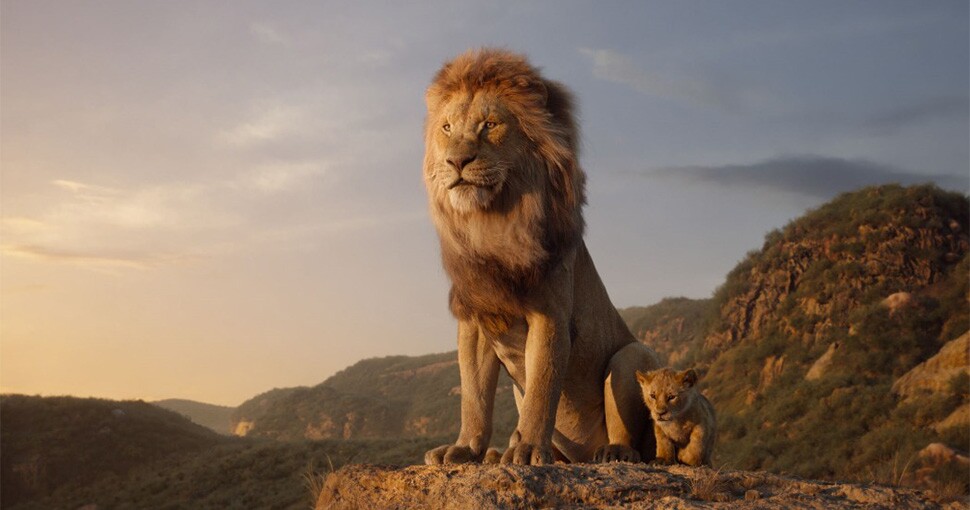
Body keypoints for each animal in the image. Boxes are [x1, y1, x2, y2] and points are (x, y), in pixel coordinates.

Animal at [421, 48, 661, 465]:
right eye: (448, 128)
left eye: (490, 124)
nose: (456, 162)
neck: (492, 224)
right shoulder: (475, 320)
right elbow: (474, 397)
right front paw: (465, 448)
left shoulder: (549, 313)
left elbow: (542, 388)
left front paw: (529, 449)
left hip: (631, 356)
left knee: (628, 430)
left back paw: (612, 453)